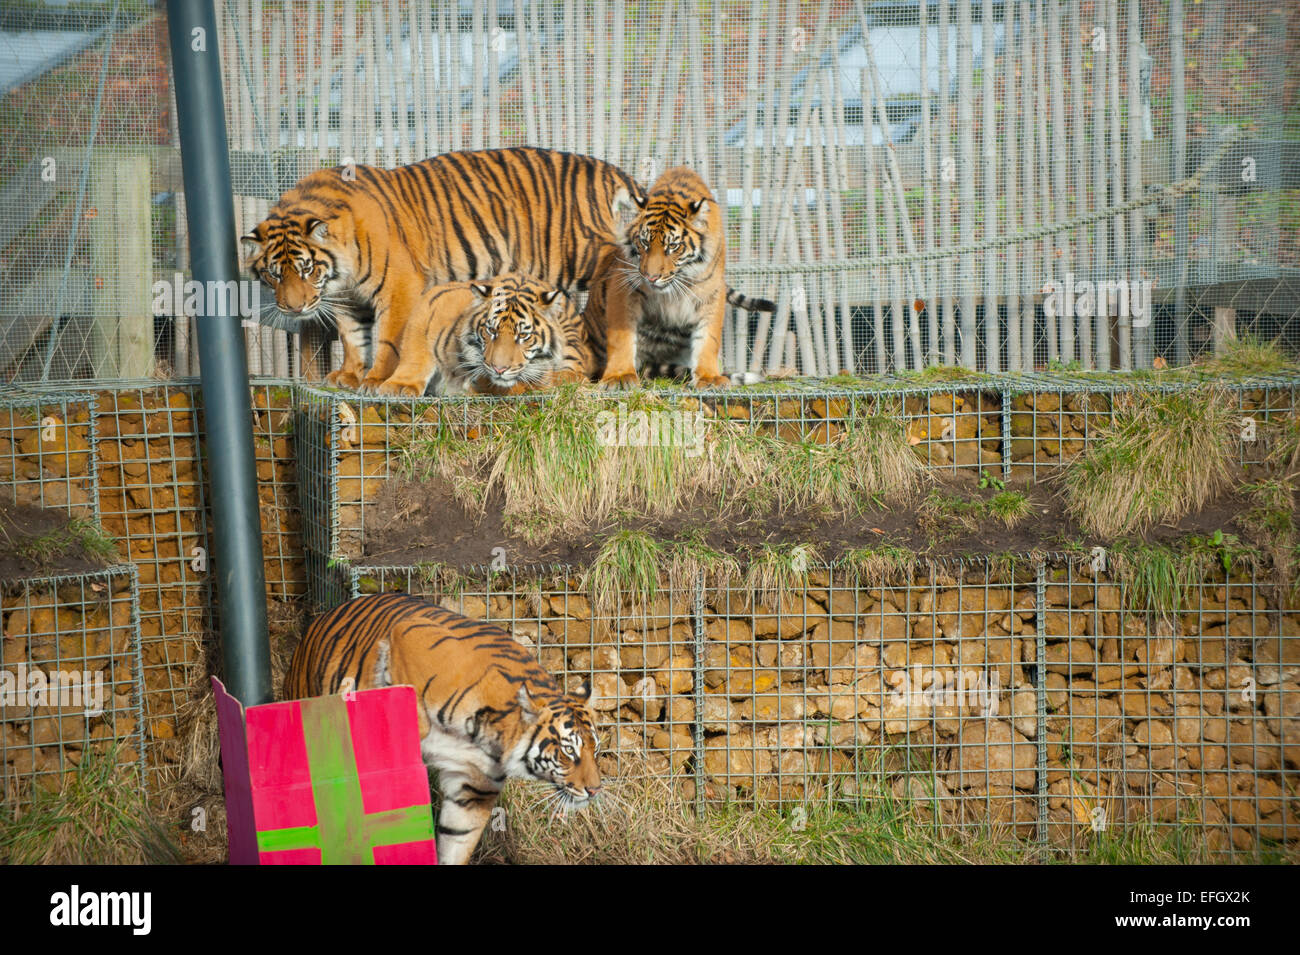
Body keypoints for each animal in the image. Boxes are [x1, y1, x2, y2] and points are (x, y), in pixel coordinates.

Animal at [283, 592, 600, 866]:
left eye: (594, 749)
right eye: (568, 750)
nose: (595, 790)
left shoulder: (474, 788)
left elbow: (456, 841)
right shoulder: (407, 635)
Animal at [374, 272, 595, 397]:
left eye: (523, 336)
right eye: (491, 331)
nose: (499, 369)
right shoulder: (431, 305)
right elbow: (415, 350)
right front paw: (398, 387)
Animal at [583, 165, 775, 390]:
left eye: (673, 246)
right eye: (644, 242)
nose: (651, 277)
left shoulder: (711, 293)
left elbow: (708, 338)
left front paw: (709, 377)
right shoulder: (624, 287)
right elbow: (621, 336)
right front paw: (620, 376)